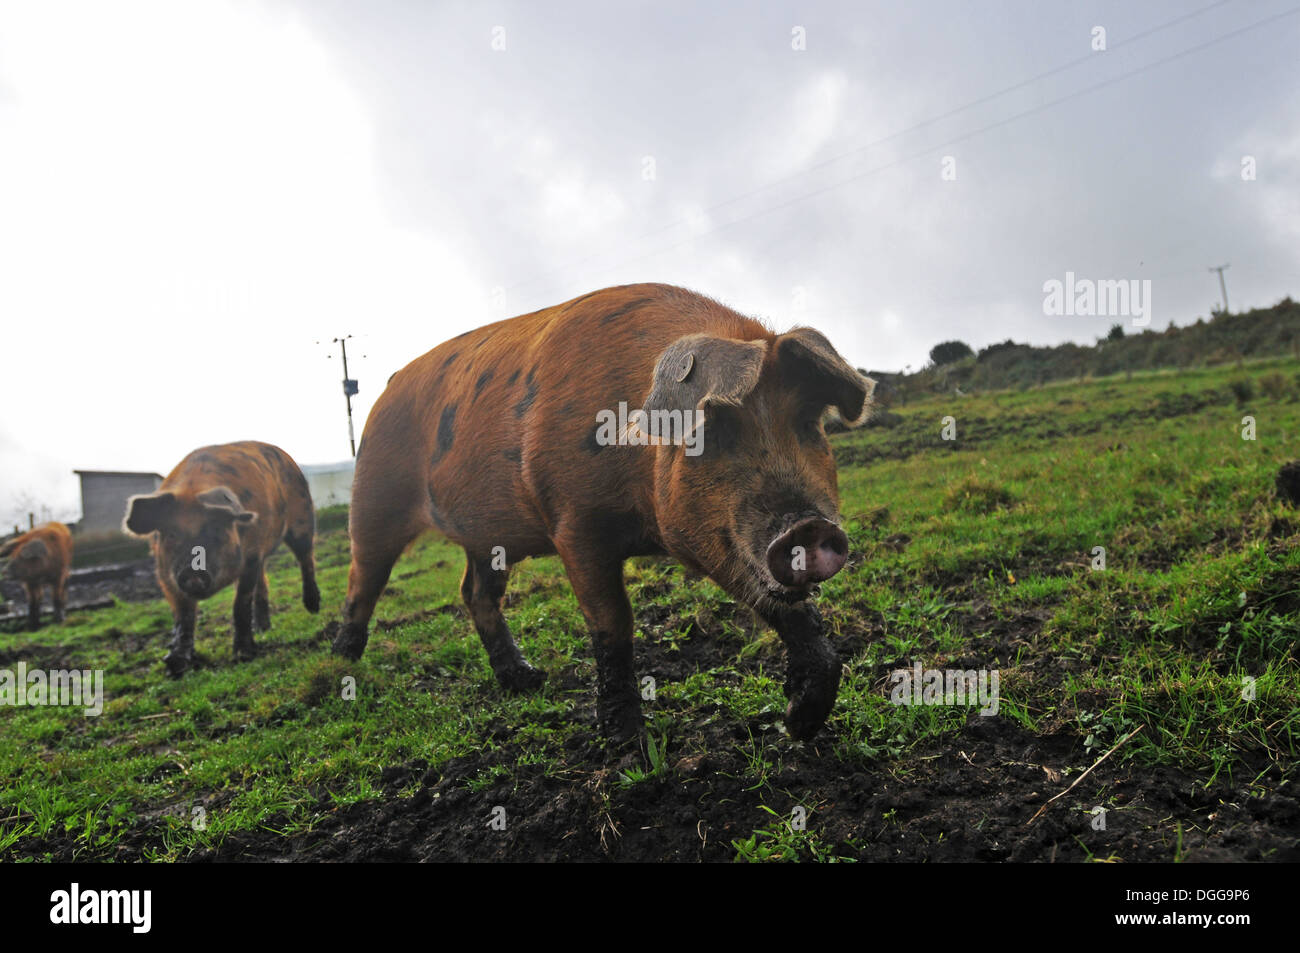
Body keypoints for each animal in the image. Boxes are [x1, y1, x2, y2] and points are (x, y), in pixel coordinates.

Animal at [123, 441, 321, 676]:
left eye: (216, 532)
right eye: (171, 534)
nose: (193, 573)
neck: (194, 488)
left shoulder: (249, 558)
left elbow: (240, 603)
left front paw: (243, 655)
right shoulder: (164, 574)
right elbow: (183, 615)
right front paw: (175, 667)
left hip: (302, 516)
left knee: (305, 557)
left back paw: (313, 607)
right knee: (264, 581)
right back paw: (262, 629)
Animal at [332, 283, 873, 742]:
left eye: (808, 423)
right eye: (709, 430)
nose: (809, 528)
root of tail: (387, 387)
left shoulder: (717, 542)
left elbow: (786, 608)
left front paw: (798, 725)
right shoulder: (574, 525)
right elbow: (613, 623)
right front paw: (628, 744)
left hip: (485, 538)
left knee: (474, 593)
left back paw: (527, 680)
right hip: (374, 498)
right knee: (364, 579)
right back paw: (344, 664)